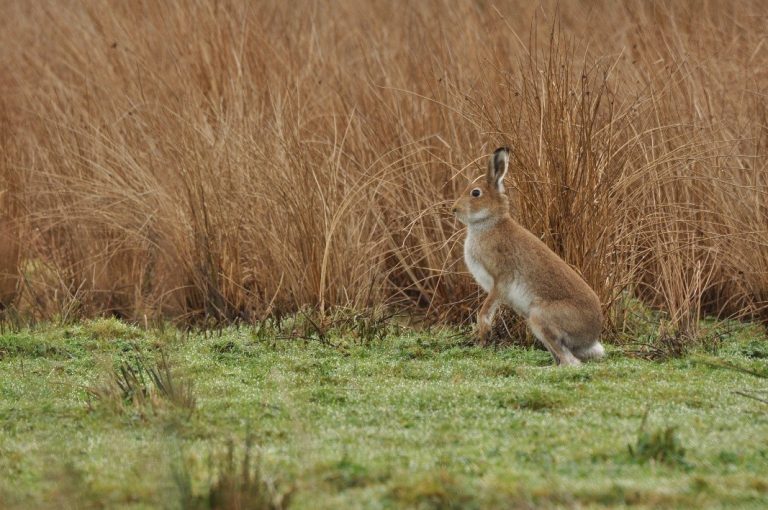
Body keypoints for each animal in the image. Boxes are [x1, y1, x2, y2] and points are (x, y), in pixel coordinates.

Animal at [452, 147, 604, 366]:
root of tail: (591, 336)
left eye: (475, 193)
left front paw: (482, 338)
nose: (454, 209)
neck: (489, 222)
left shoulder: (500, 280)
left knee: (570, 362)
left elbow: (485, 313)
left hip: (540, 318)